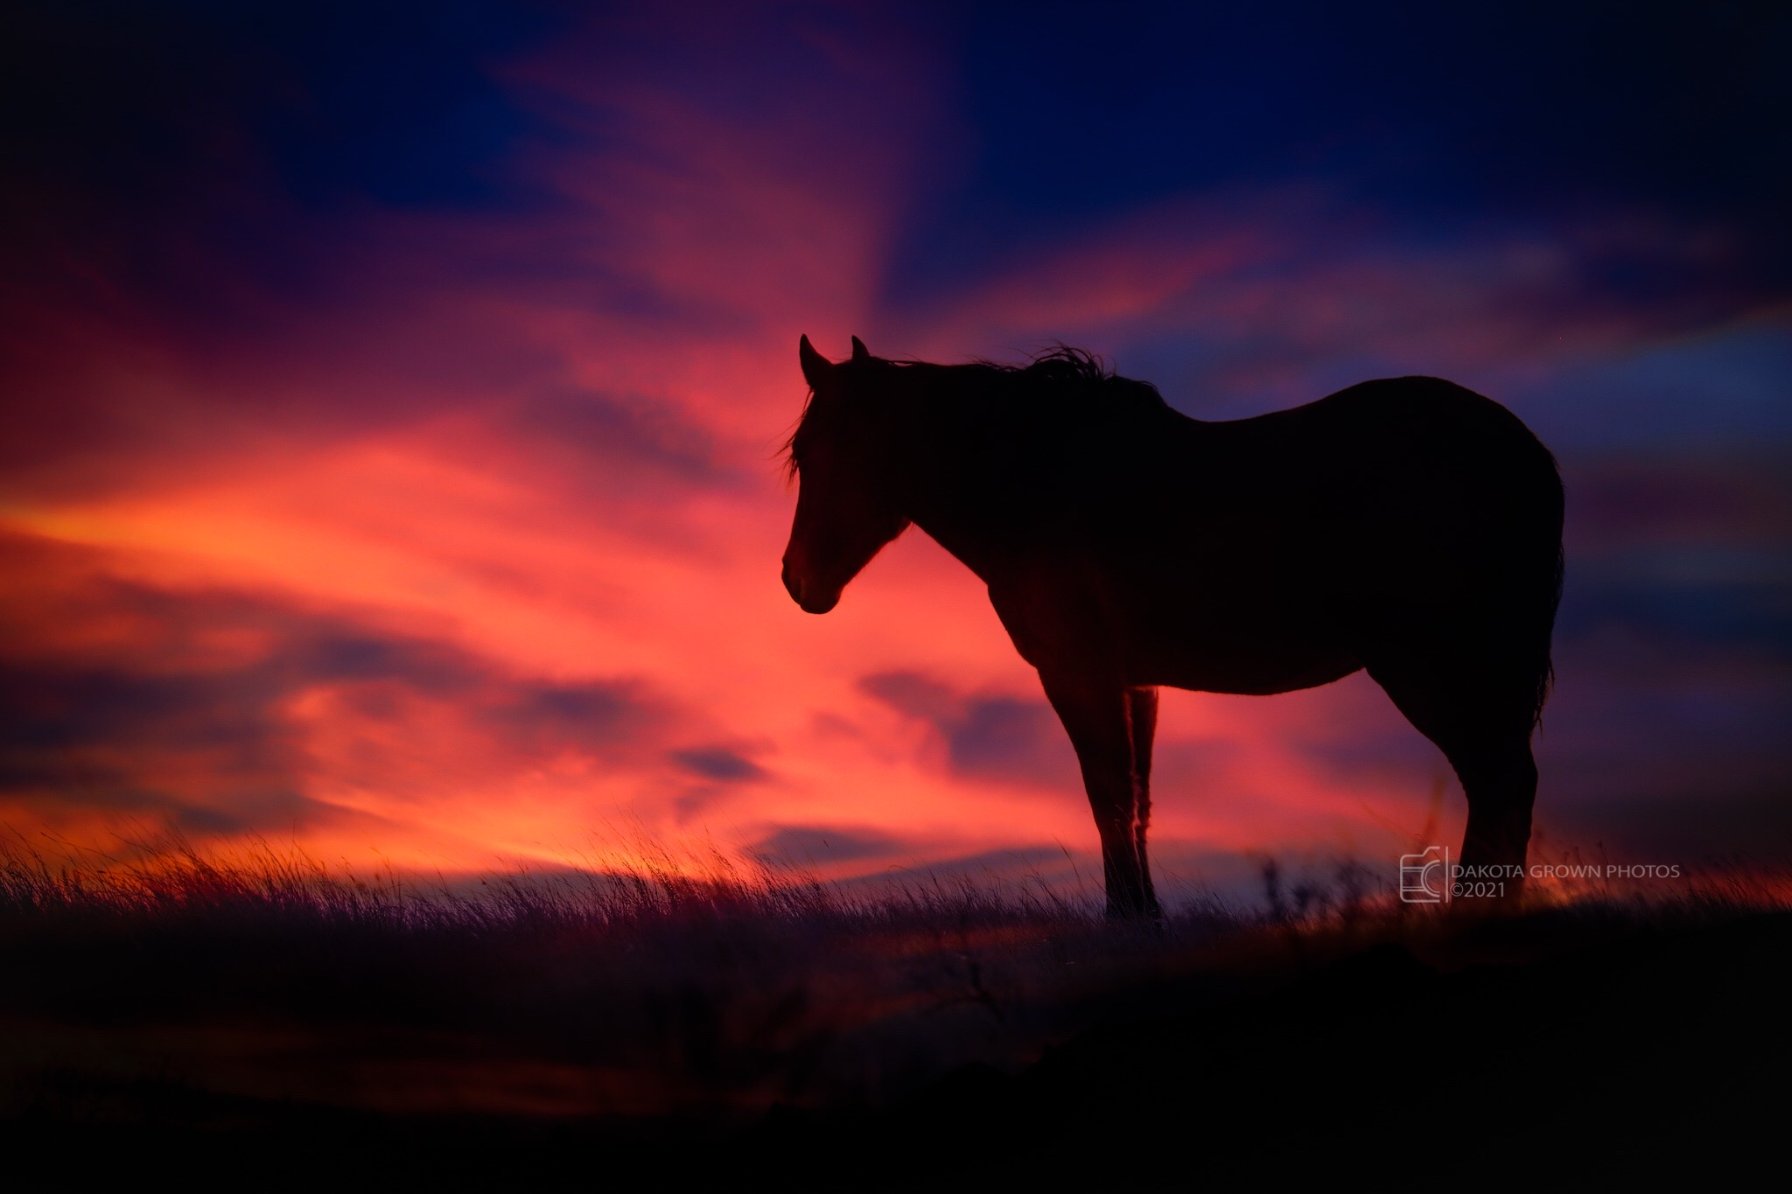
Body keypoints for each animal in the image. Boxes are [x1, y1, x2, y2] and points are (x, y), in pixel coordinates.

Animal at [780, 335, 1564, 918]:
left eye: (815, 452)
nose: (797, 580)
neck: (1039, 481)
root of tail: (1524, 448)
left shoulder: (1077, 672)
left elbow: (1106, 795)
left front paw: (1125, 918)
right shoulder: (1137, 682)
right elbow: (1138, 802)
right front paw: (1145, 915)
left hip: (1434, 668)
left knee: (1499, 784)